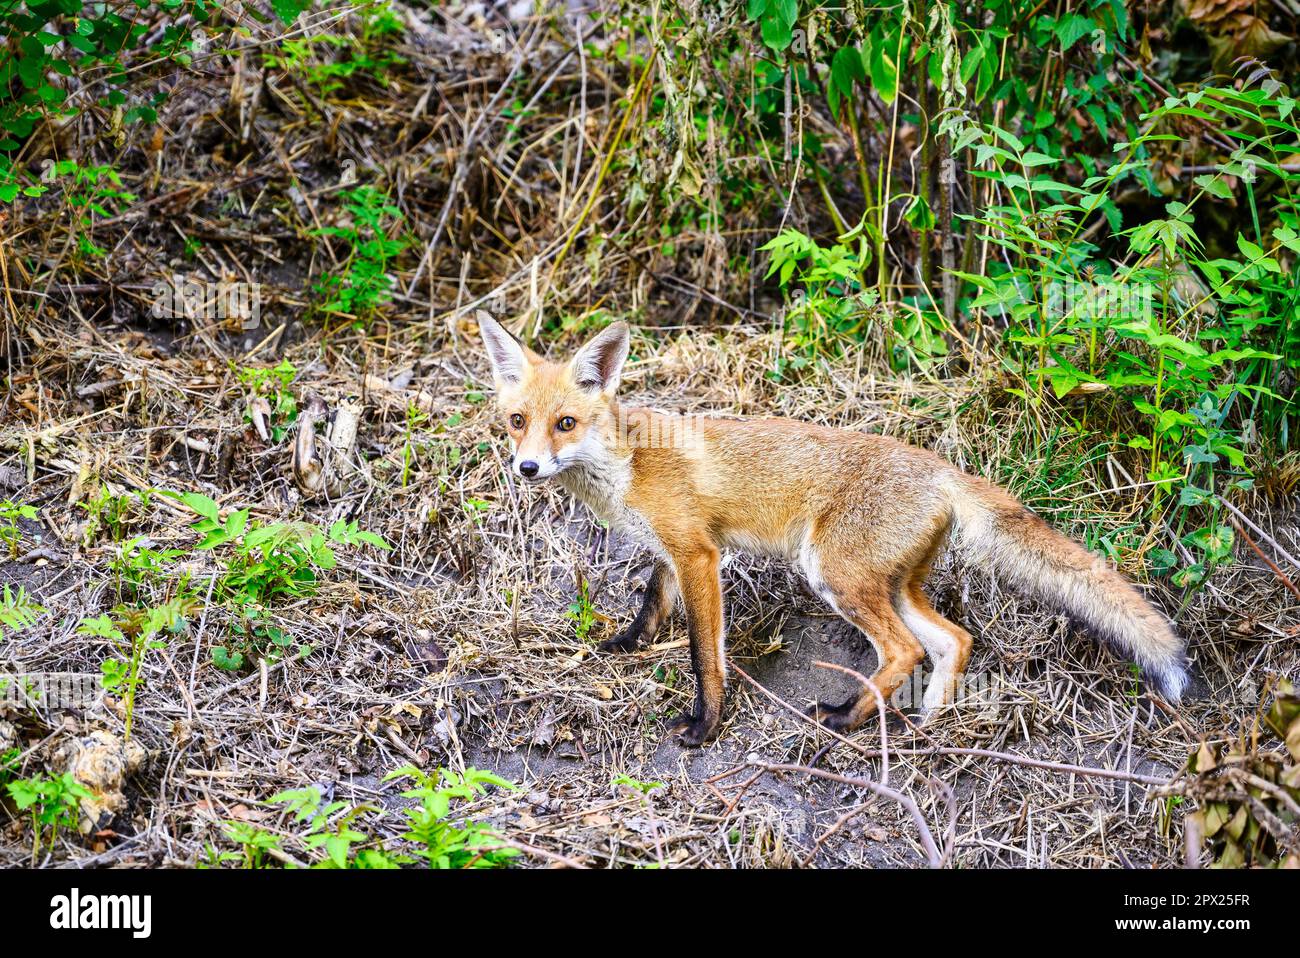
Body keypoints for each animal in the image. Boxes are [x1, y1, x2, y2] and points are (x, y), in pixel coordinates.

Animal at [477, 314, 1189, 746]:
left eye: (566, 423)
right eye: (517, 421)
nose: (527, 467)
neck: (625, 465)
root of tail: (940, 467)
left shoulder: (699, 553)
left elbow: (706, 654)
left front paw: (706, 725)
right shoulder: (675, 551)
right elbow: (653, 600)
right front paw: (627, 644)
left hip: (834, 573)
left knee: (904, 649)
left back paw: (846, 717)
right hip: (893, 583)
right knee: (953, 640)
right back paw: (926, 721)